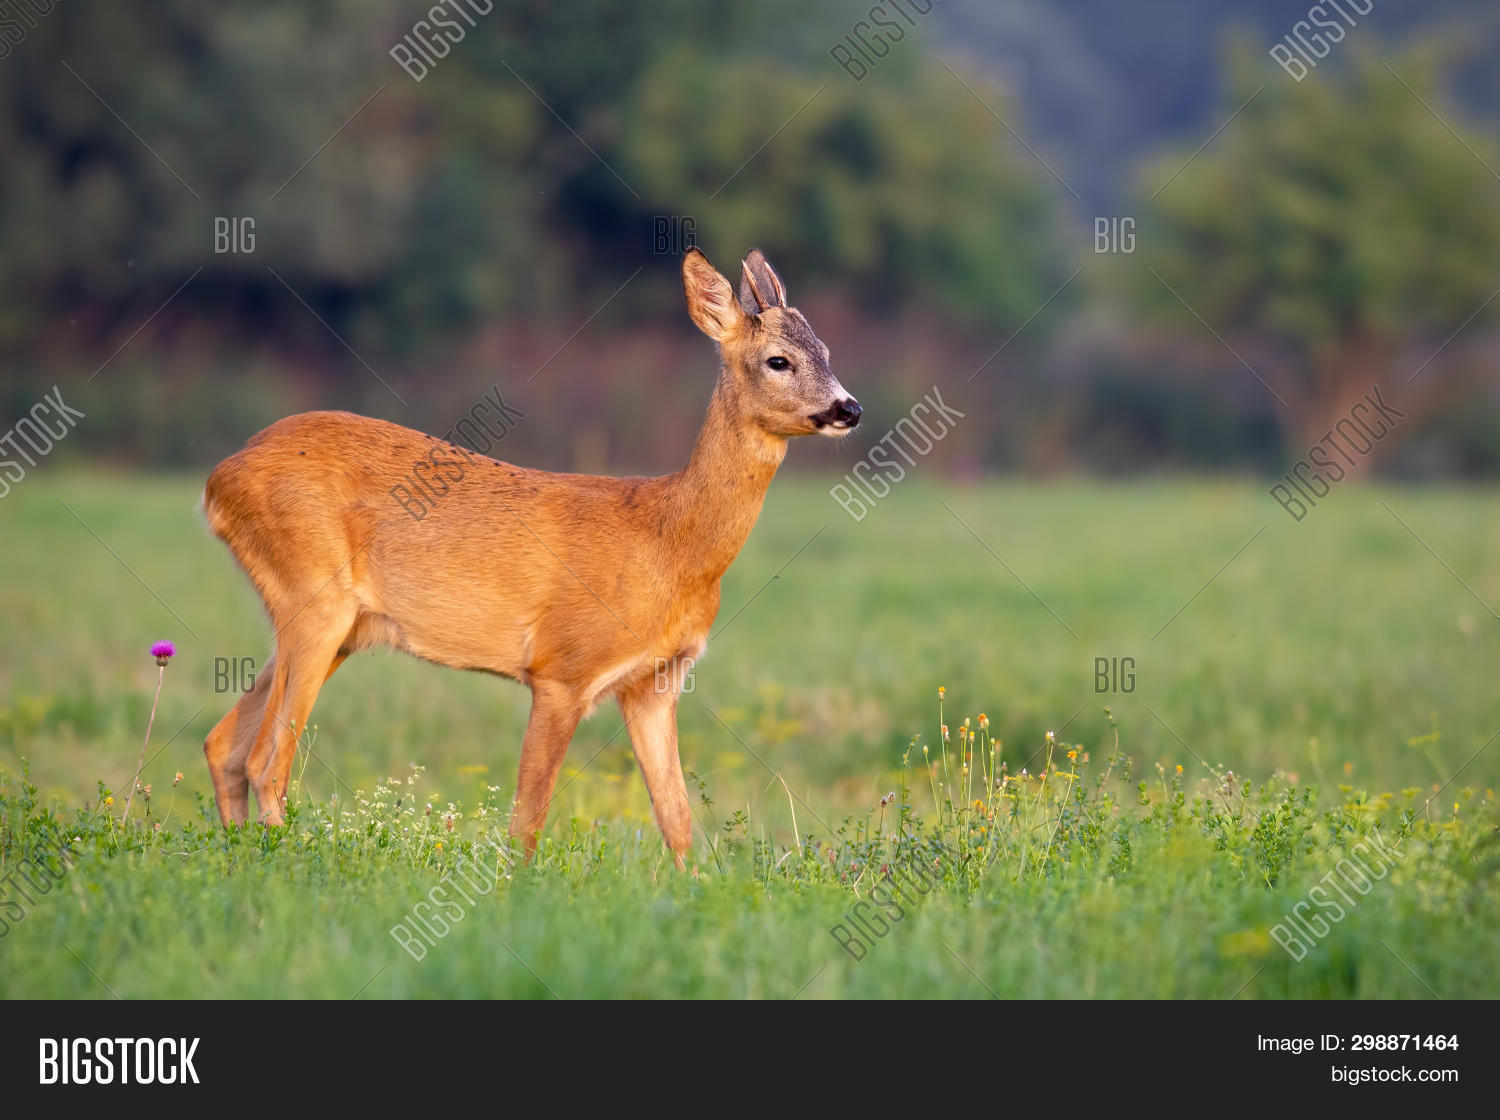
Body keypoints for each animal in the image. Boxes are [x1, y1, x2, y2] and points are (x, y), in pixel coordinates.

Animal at [201, 247, 861, 865]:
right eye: (779, 359)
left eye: (827, 350)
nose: (849, 408)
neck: (668, 541)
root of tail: (218, 479)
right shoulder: (561, 668)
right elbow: (528, 819)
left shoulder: (656, 681)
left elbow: (676, 820)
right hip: (312, 596)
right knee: (265, 760)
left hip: (343, 626)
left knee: (222, 743)